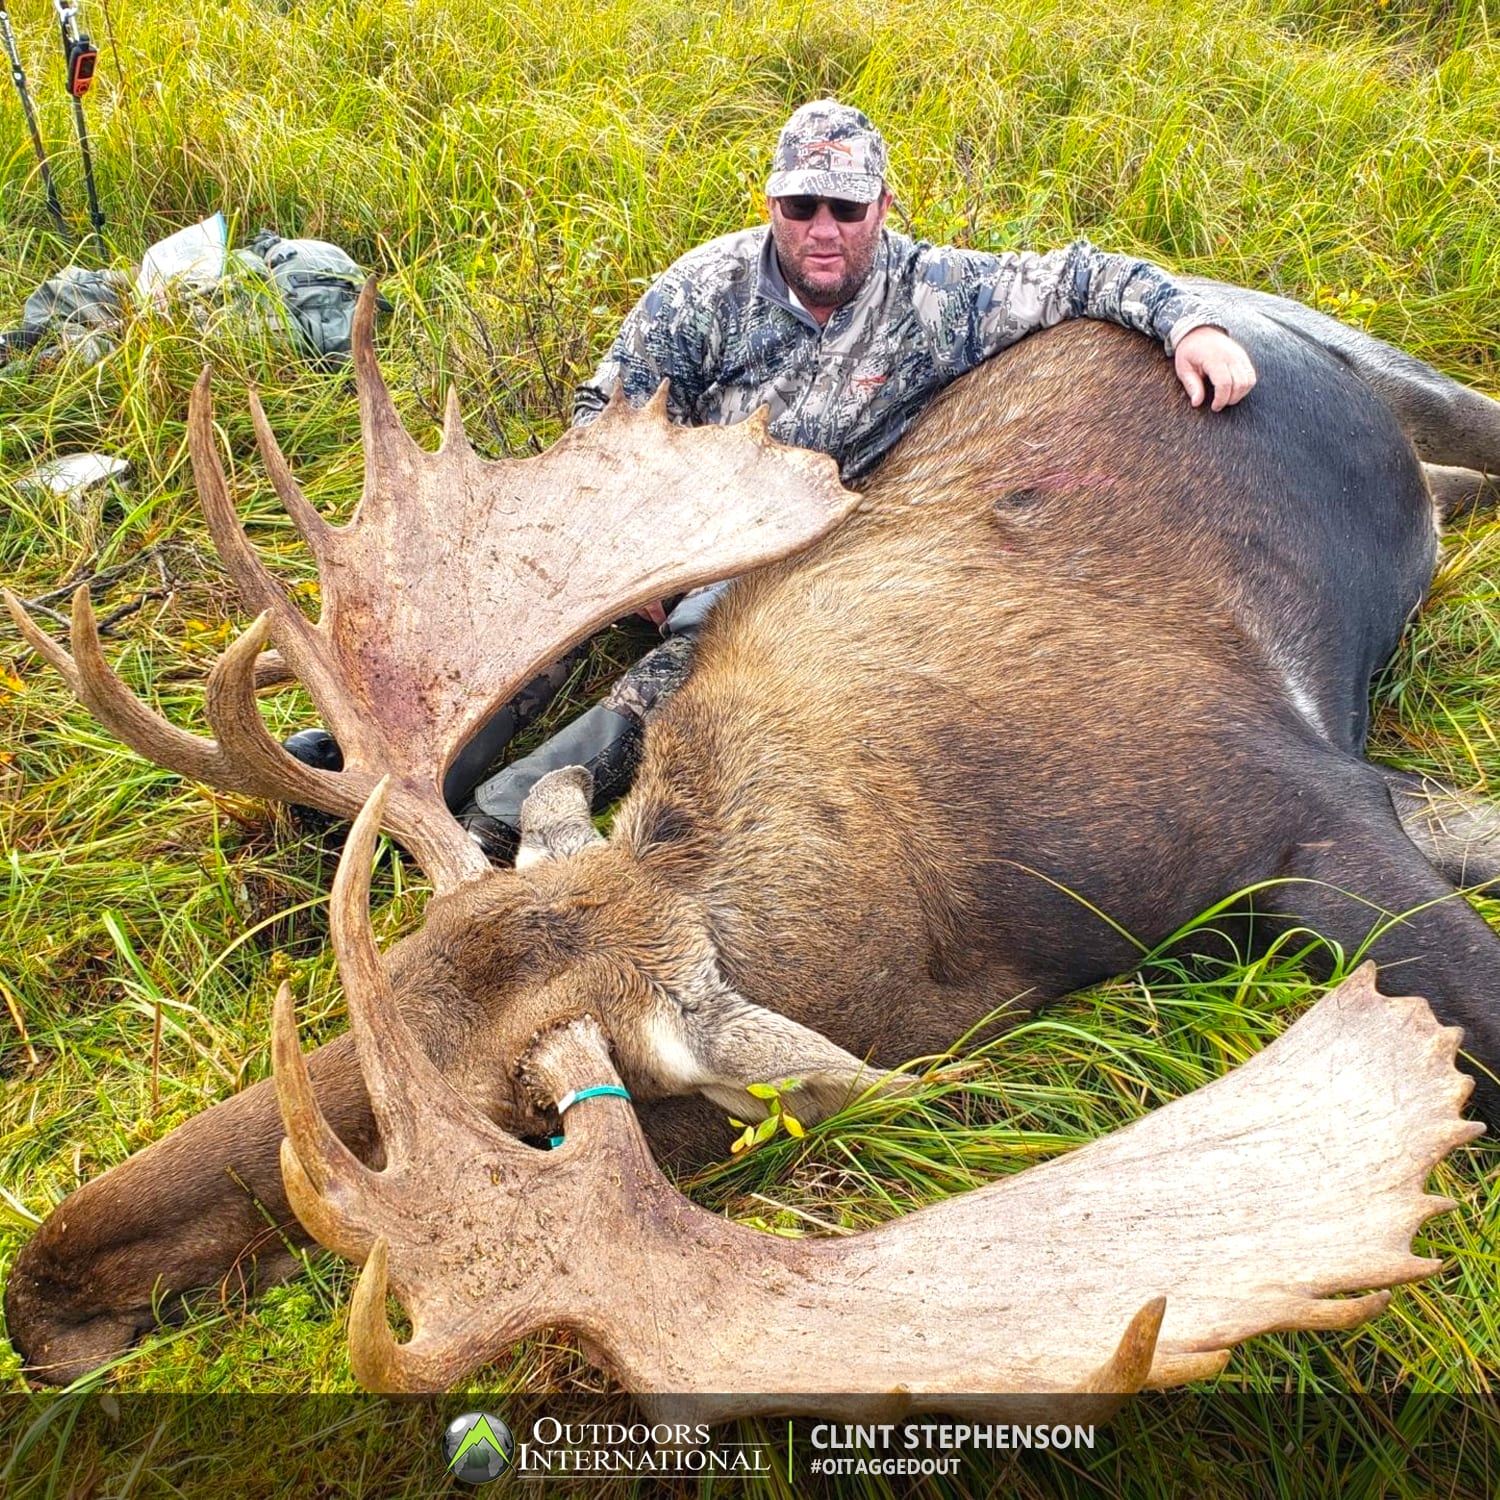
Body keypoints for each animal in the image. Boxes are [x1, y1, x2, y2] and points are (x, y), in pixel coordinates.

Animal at [5, 283, 1498, 1408]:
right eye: (399, 964)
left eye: (533, 1115)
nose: (51, 1278)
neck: (951, 916)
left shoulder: (1300, 810)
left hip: (1393, 367)